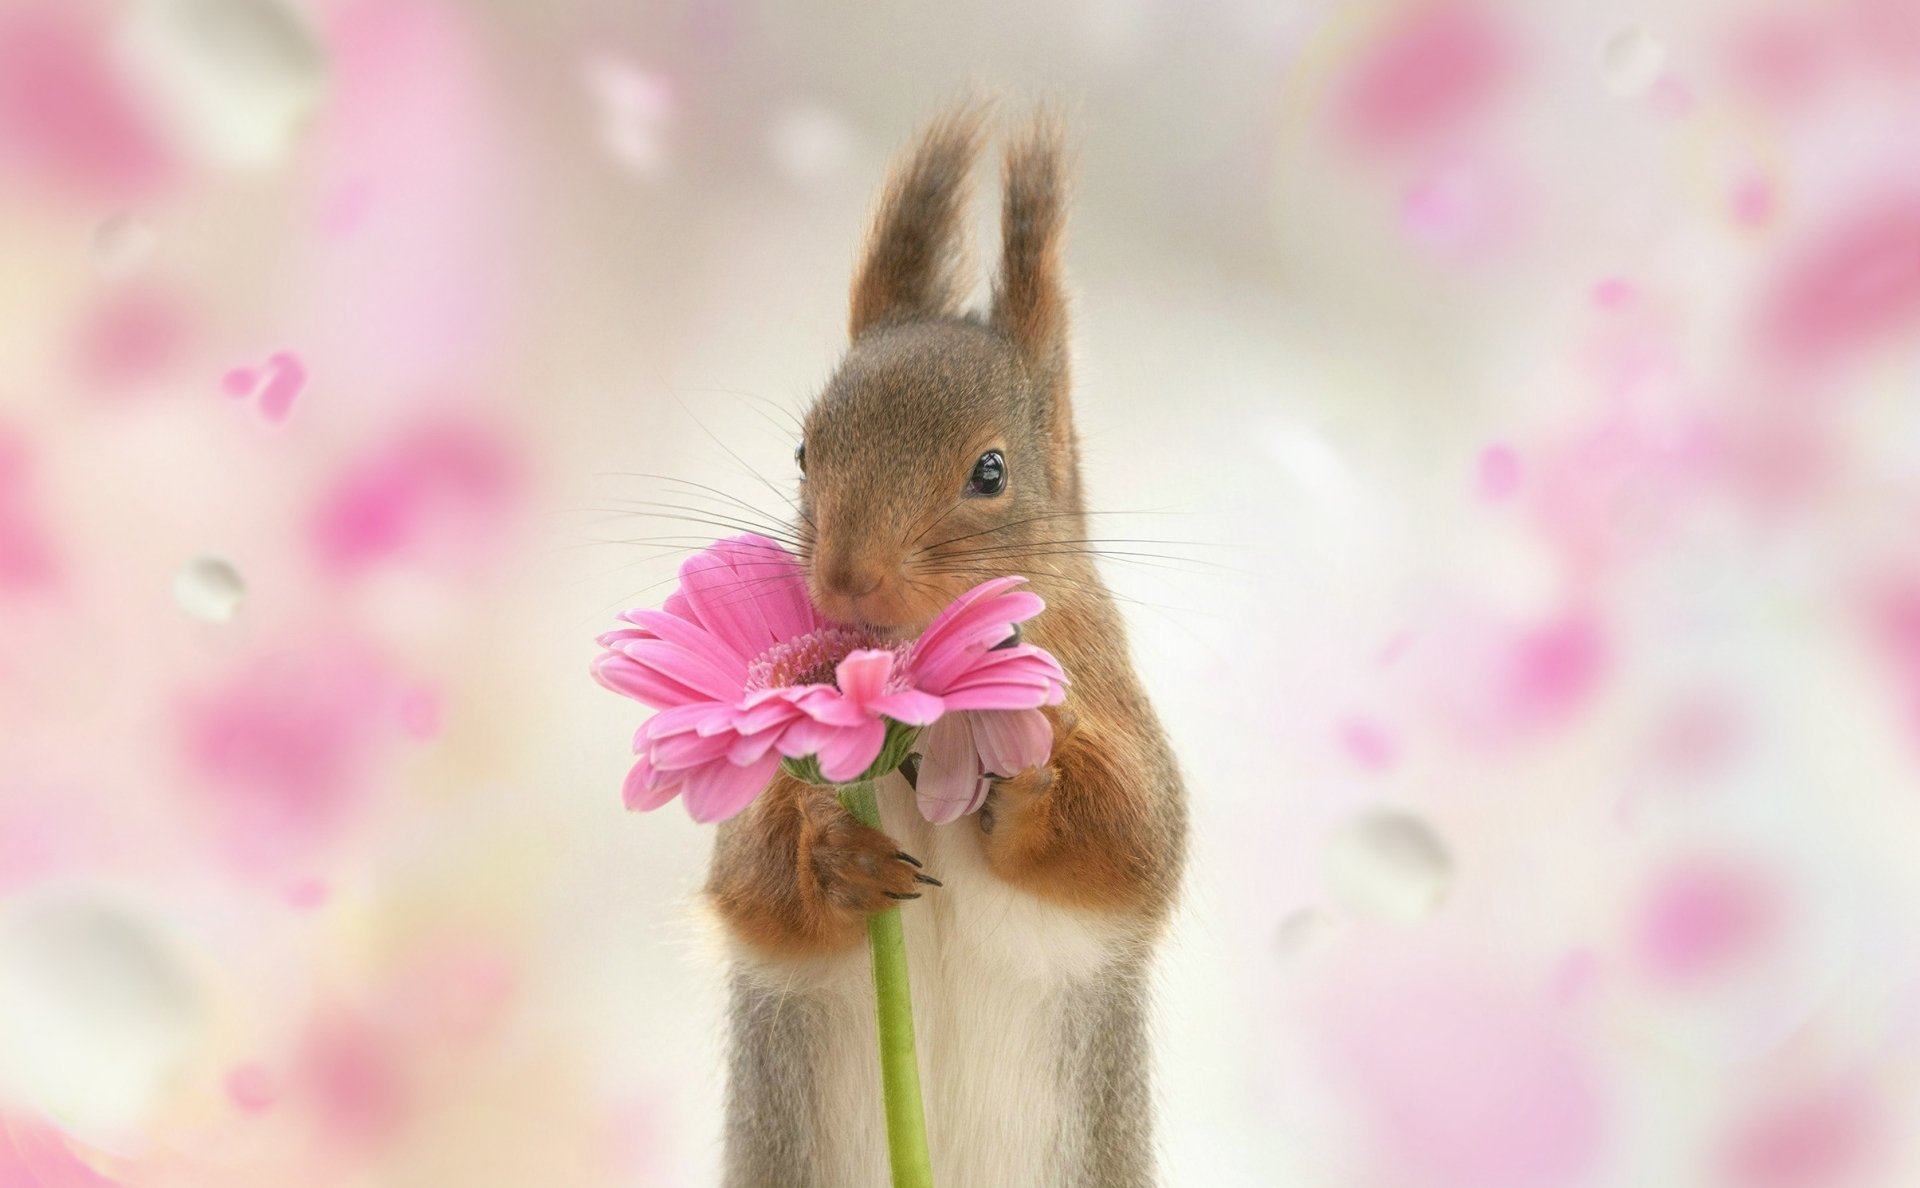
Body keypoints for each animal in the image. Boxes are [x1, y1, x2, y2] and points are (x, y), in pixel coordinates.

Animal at [706, 103, 1189, 1188]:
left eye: (992, 472)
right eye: (805, 452)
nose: (847, 578)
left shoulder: (1112, 690)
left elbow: (1137, 834)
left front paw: (1037, 764)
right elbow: (752, 885)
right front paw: (834, 852)